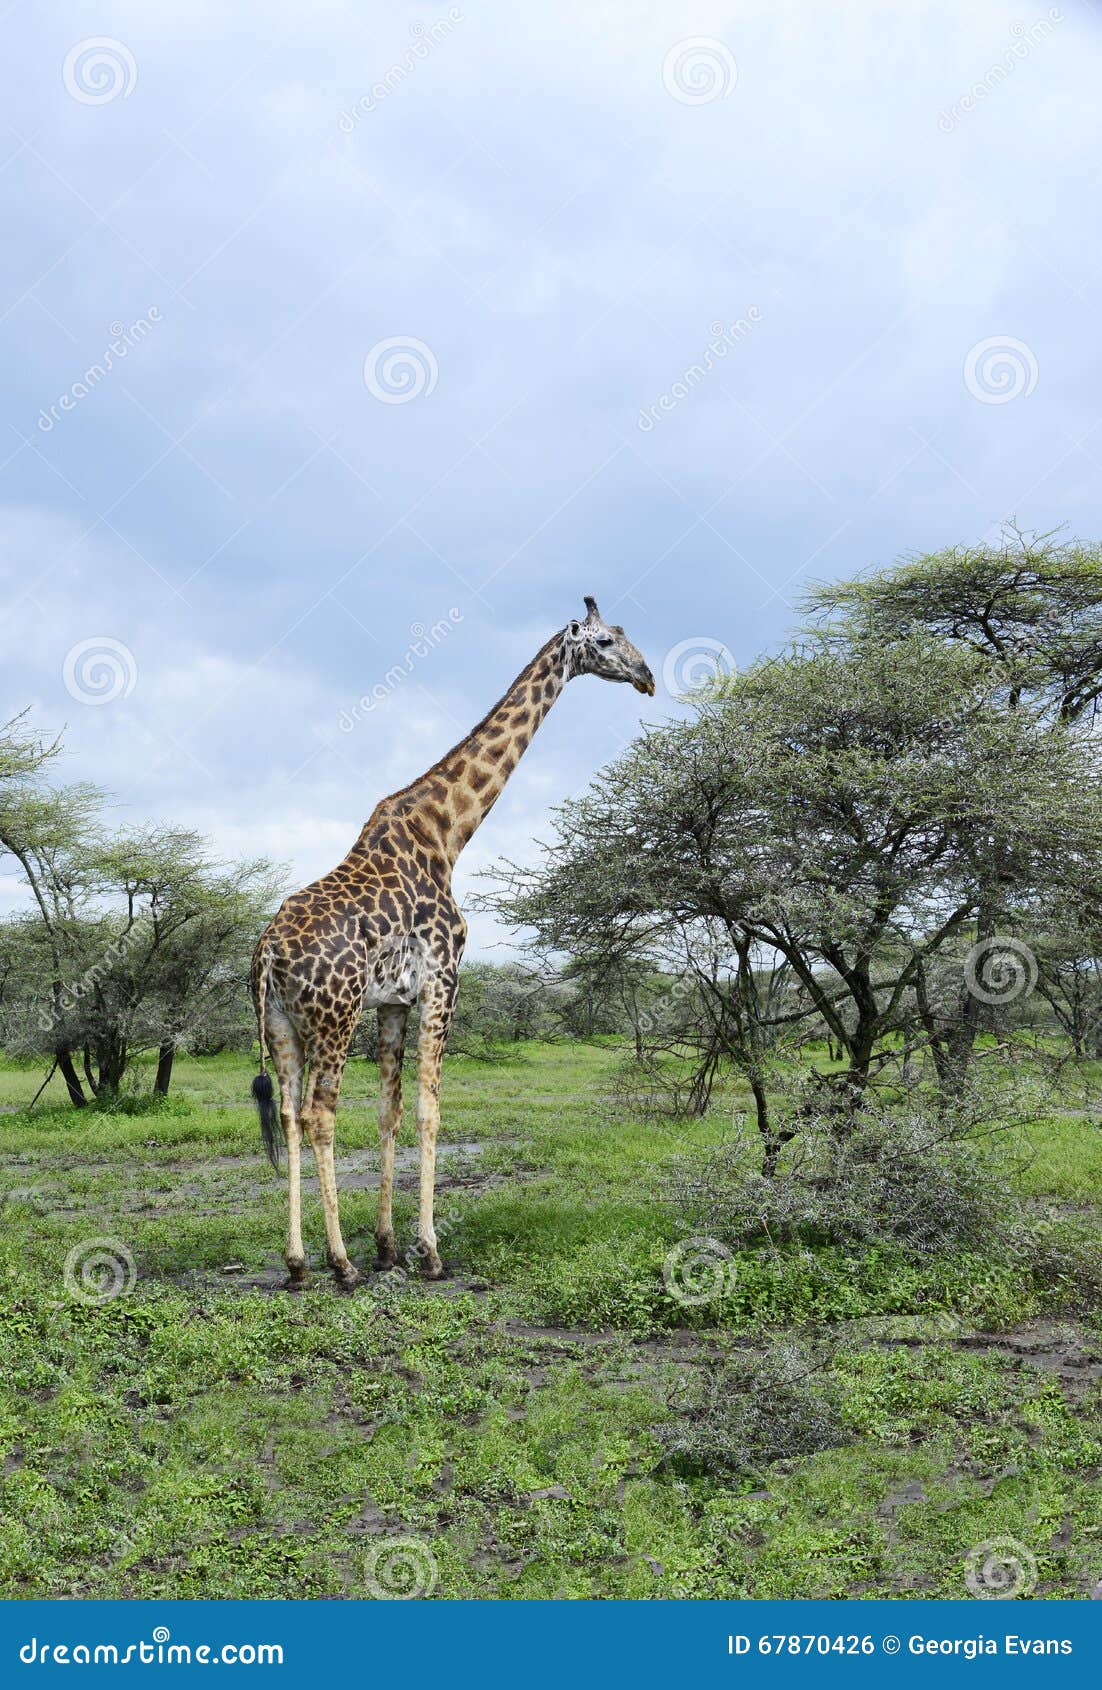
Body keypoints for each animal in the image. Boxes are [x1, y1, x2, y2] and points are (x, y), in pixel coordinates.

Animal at [250, 597, 654, 1289]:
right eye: (605, 642)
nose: (648, 678)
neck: (447, 834)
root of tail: (269, 953)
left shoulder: (391, 1002)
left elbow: (388, 1112)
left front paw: (388, 1246)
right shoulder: (444, 979)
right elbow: (429, 1110)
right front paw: (429, 1250)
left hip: (282, 1023)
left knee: (288, 1115)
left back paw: (299, 1262)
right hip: (333, 1015)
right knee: (319, 1114)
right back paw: (339, 1263)